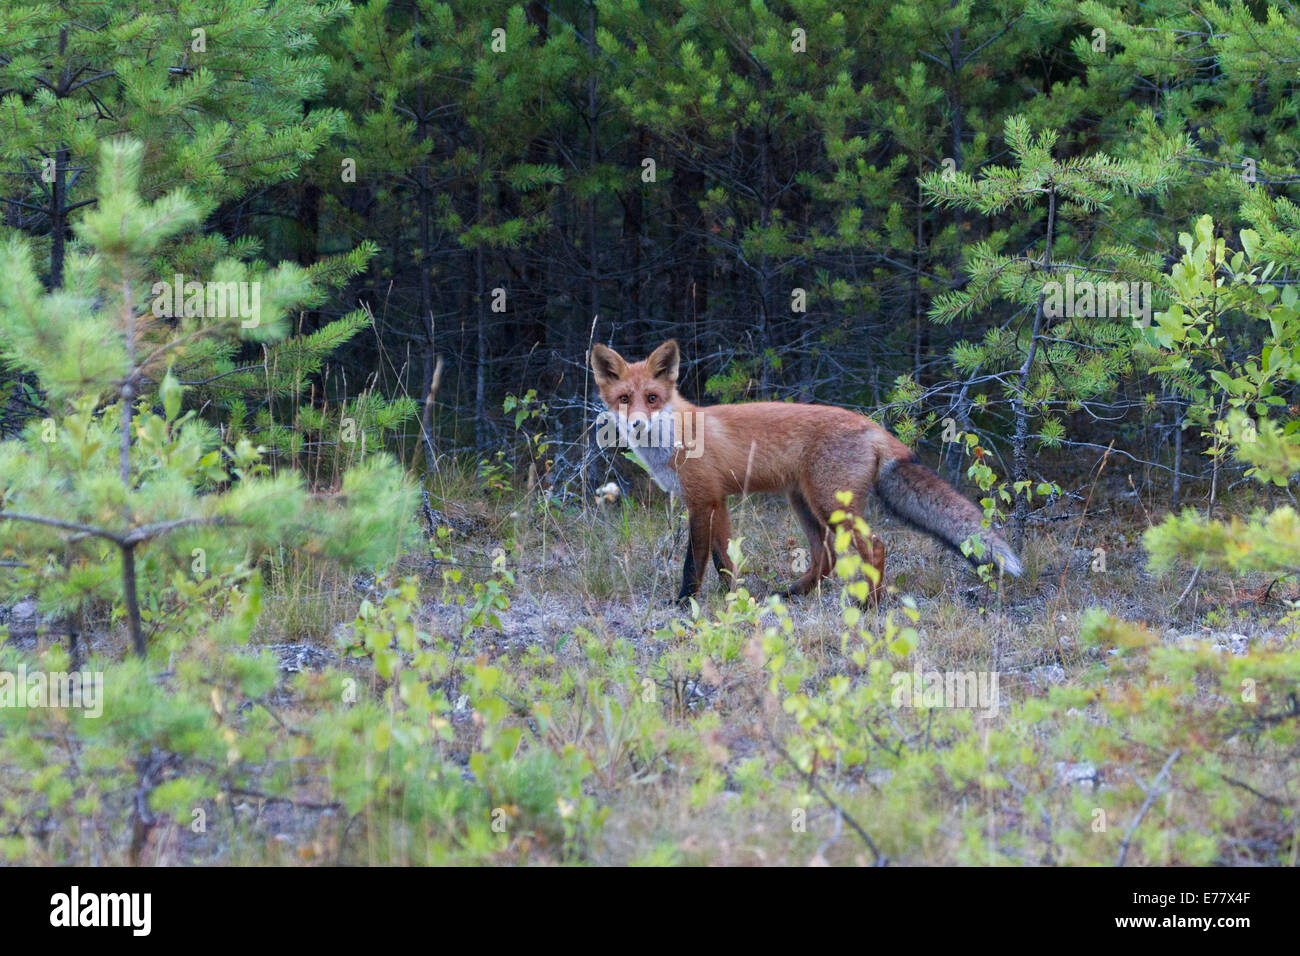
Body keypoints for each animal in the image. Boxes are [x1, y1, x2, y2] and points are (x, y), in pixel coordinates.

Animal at [589, 339, 1023, 604]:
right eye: (624, 399)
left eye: (652, 398)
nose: (637, 424)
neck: (676, 437)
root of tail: (873, 426)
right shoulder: (717, 501)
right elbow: (724, 559)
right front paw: (735, 599)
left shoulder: (700, 501)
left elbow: (693, 564)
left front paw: (684, 603)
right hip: (805, 504)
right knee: (825, 556)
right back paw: (796, 592)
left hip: (831, 505)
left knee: (875, 546)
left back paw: (870, 605)